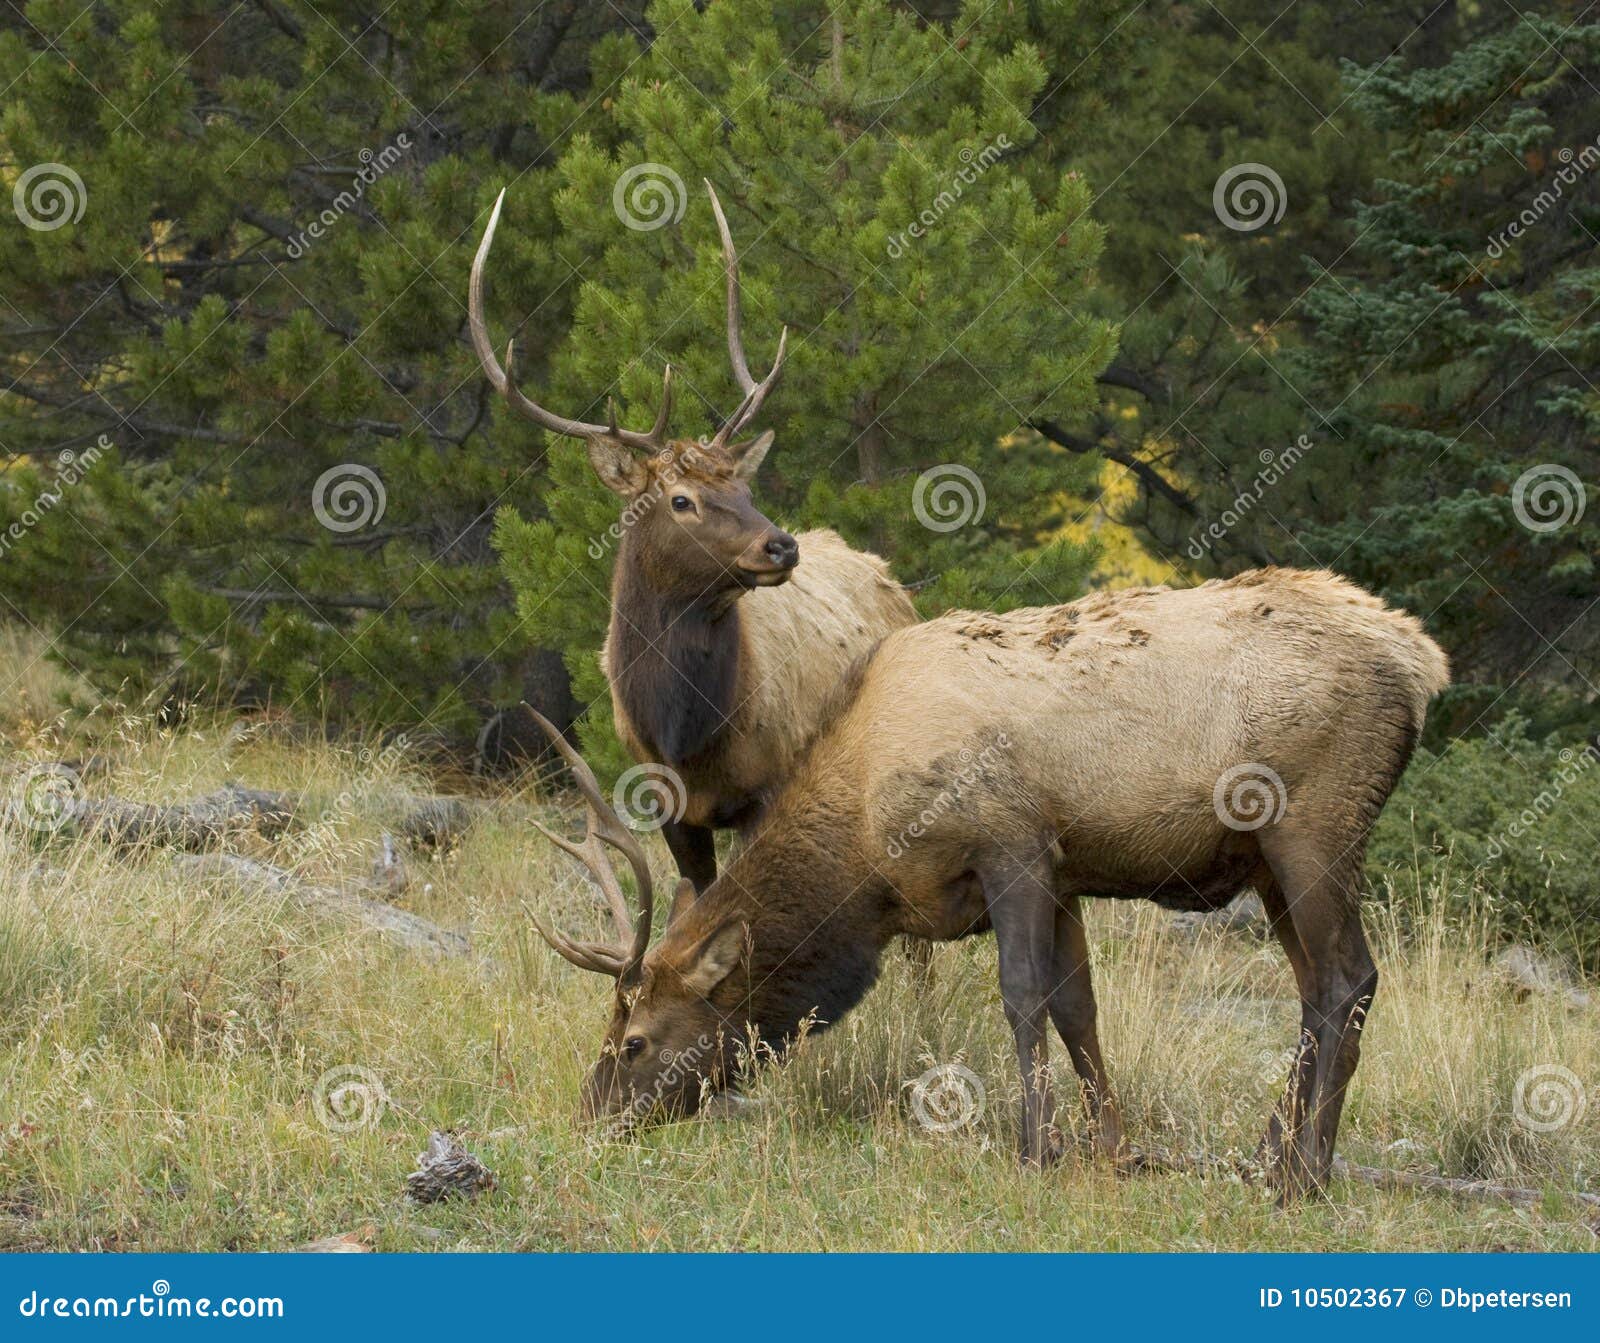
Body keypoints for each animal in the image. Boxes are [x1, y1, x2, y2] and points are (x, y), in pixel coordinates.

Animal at [469, 182, 915, 894]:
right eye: (682, 499)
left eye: (746, 489)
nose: (782, 546)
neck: (687, 733)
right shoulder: (667, 805)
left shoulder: (770, 790)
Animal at [523, 567, 1450, 1199]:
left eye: (634, 1039)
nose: (588, 1118)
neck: (868, 851)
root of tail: (1423, 660)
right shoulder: (1067, 873)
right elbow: (1079, 1006)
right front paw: (1112, 1149)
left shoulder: (1014, 844)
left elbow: (1024, 993)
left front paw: (1035, 1149)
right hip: (1268, 862)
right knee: (1313, 986)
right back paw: (1266, 1156)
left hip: (1314, 823)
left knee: (1347, 978)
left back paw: (1304, 1173)